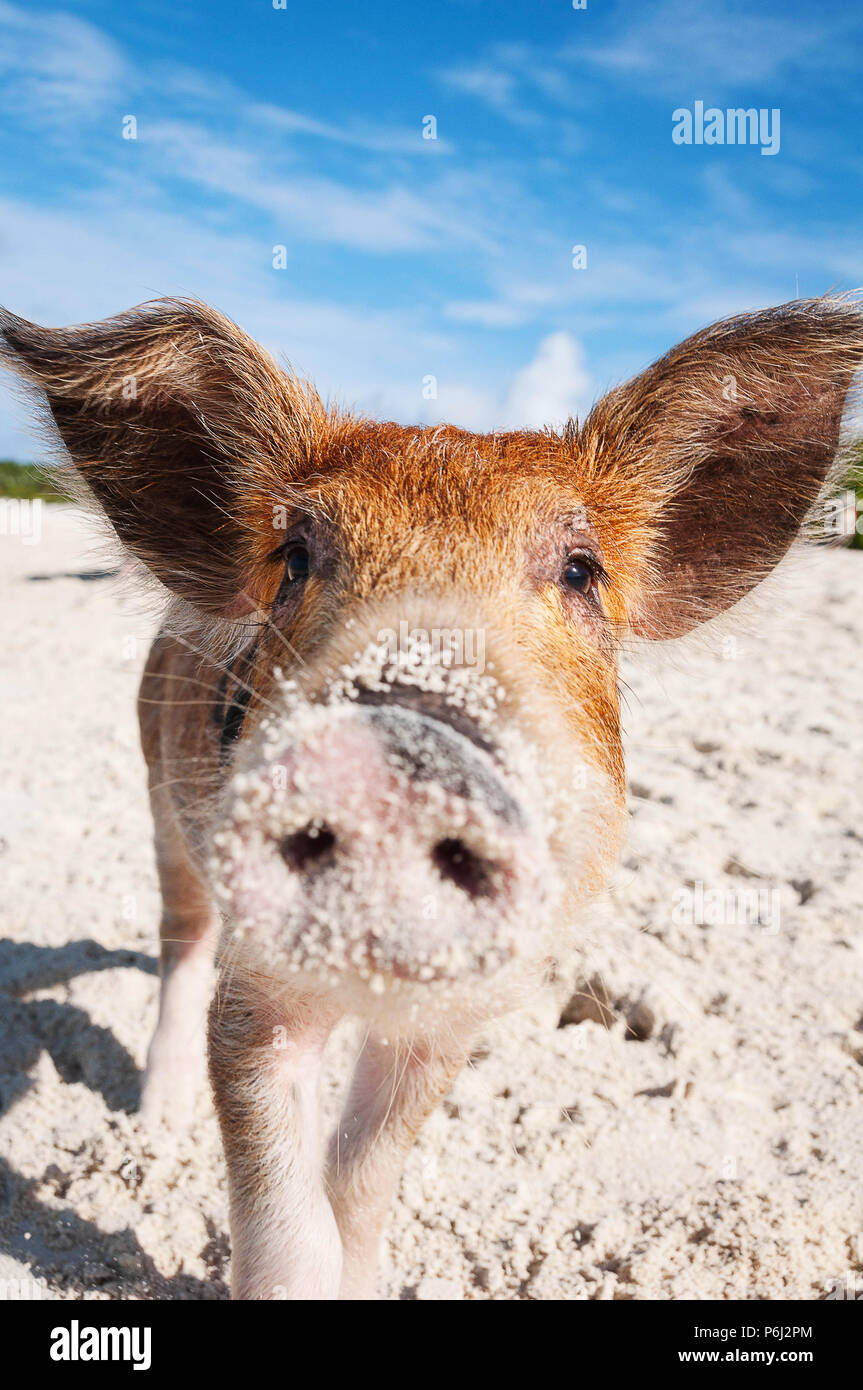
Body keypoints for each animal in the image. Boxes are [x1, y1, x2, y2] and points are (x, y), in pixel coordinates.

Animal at [0, 296, 856, 1301]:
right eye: (295, 557)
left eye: (580, 571)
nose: (394, 761)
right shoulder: (258, 995)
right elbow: (282, 1221)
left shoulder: (456, 1020)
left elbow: (362, 1175)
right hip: (159, 795)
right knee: (180, 939)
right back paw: (158, 1120)